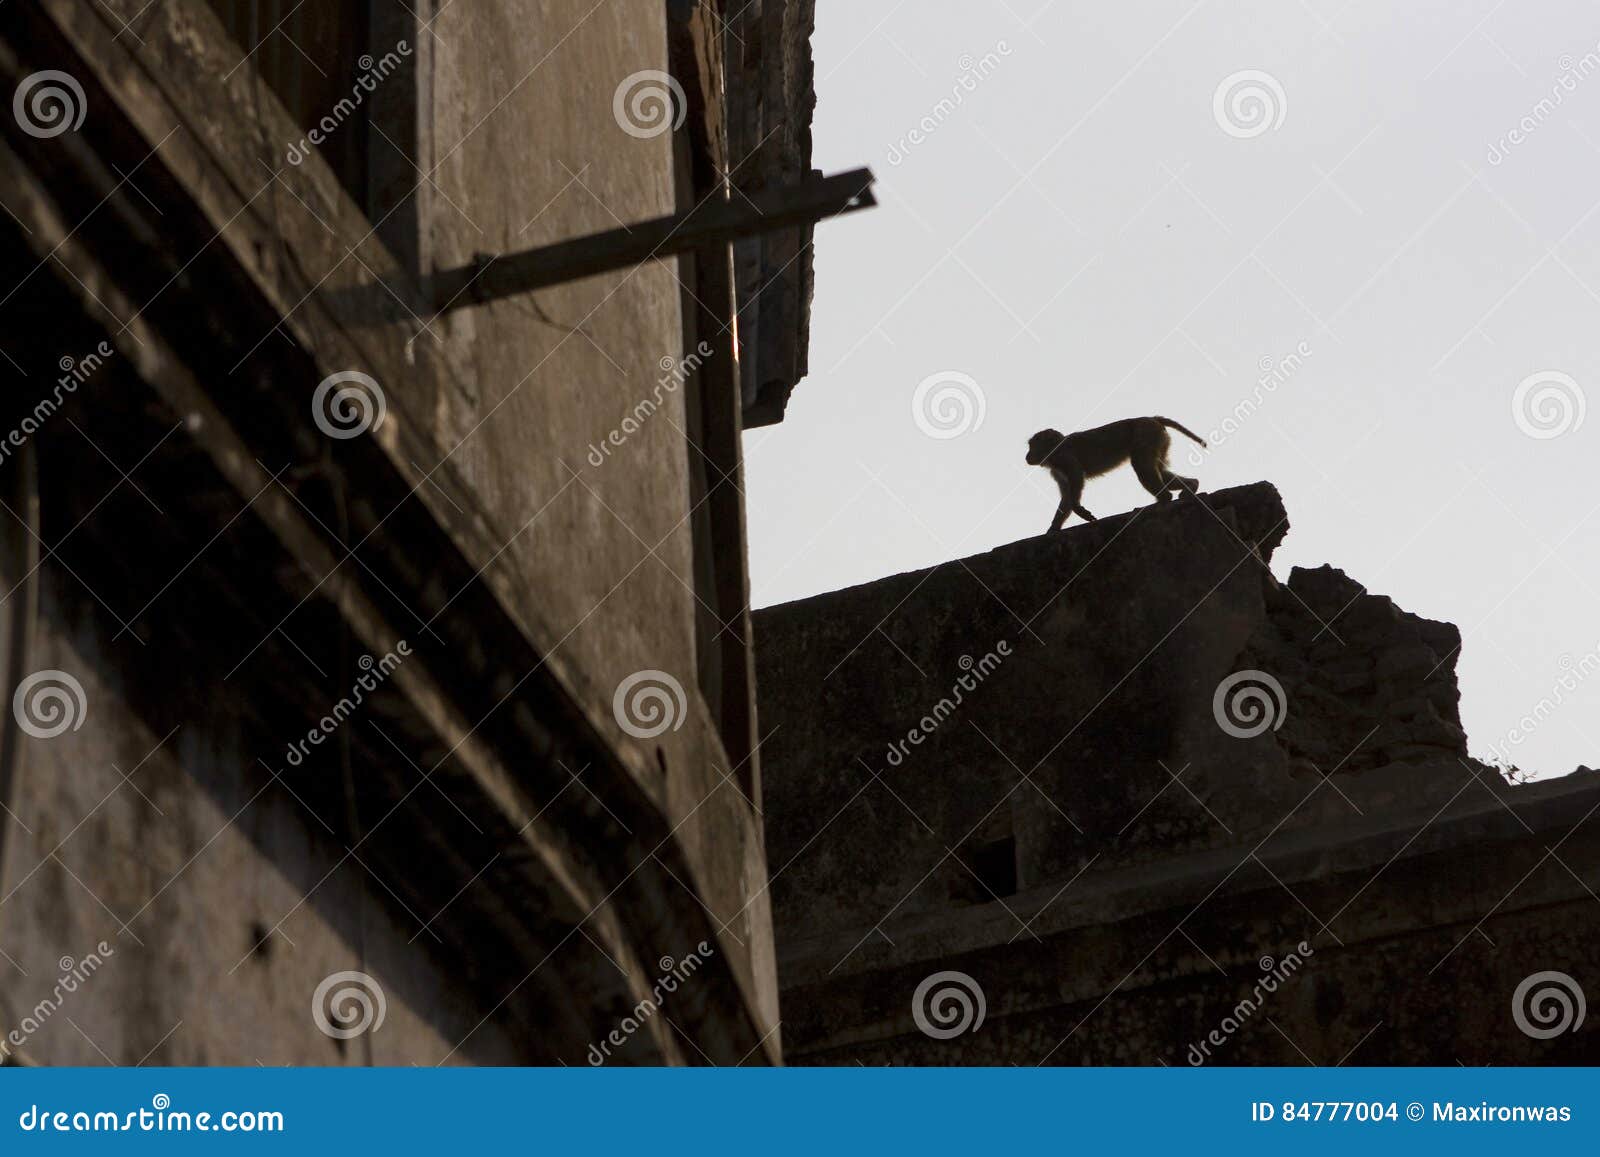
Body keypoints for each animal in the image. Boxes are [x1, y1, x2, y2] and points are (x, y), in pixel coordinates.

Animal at [1025, 416, 1206, 532]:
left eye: (1032, 446)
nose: (1026, 456)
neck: (1053, 452)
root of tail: (1151, 418)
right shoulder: (1057, 470)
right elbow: (1066, 495)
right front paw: (1052, 529)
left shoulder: (1063, 457)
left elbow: (1076, 477)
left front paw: (1079, 510)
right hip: (1159, 440)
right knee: (1159, 470)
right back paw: (1192, 485)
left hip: (1146, 434)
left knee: (1141, 465)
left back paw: (1163, 499)